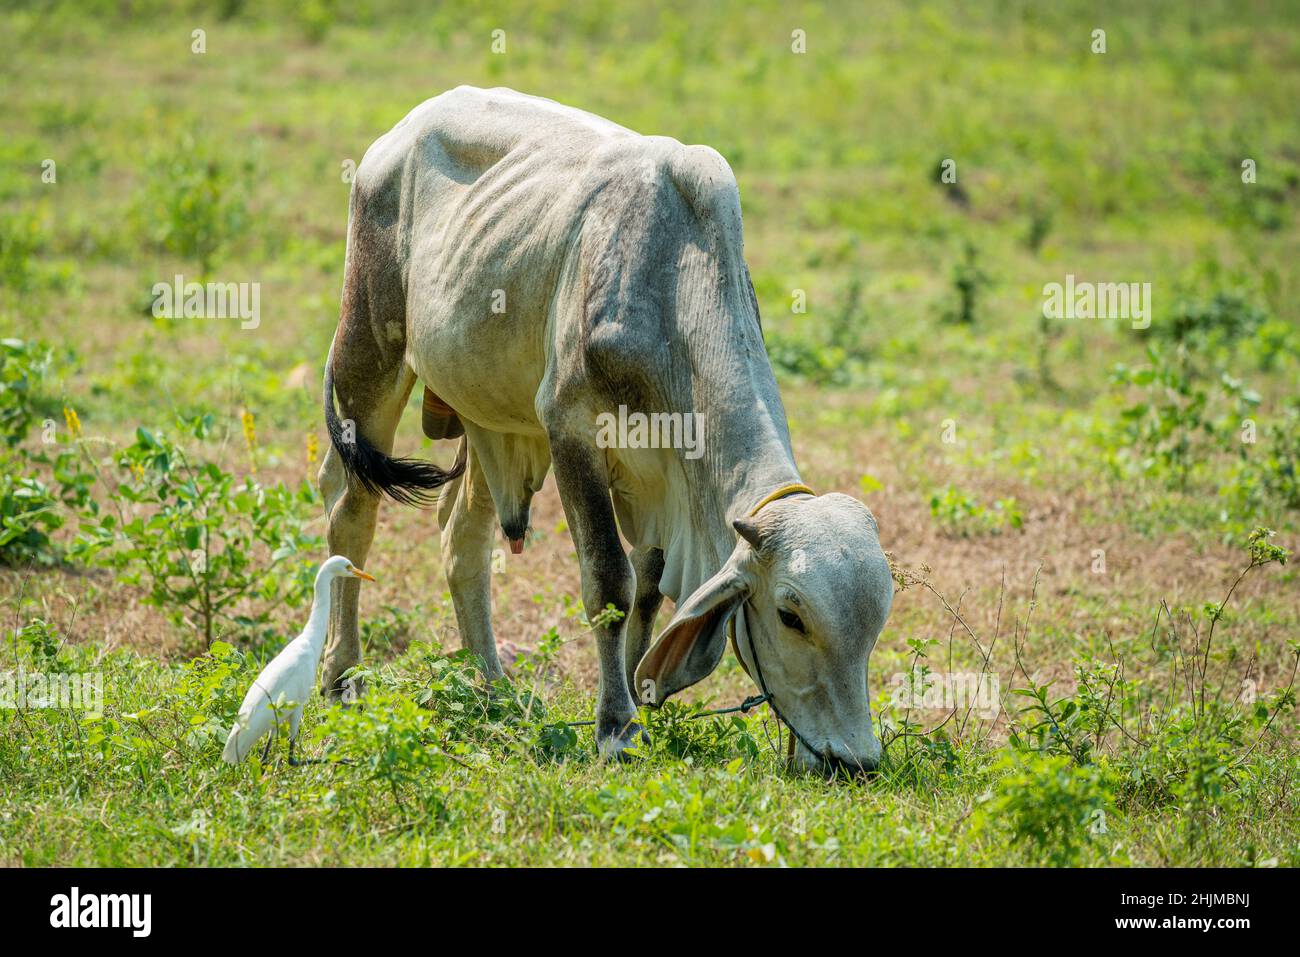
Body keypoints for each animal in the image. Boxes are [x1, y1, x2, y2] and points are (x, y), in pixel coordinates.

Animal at [318, 86, 894, 774]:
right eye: (790, 615)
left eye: (876, 627)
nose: (853, 761)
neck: (673, 283)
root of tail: (400, 132)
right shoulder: (571, 431)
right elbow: (611, 582)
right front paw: (616, 725)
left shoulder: (657, 480)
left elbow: (648, 591)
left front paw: (637, 698)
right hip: (367, 359)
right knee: (351, 513)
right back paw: (340, 678)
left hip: (489, 416)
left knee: (463, 541)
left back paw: (495, 692)